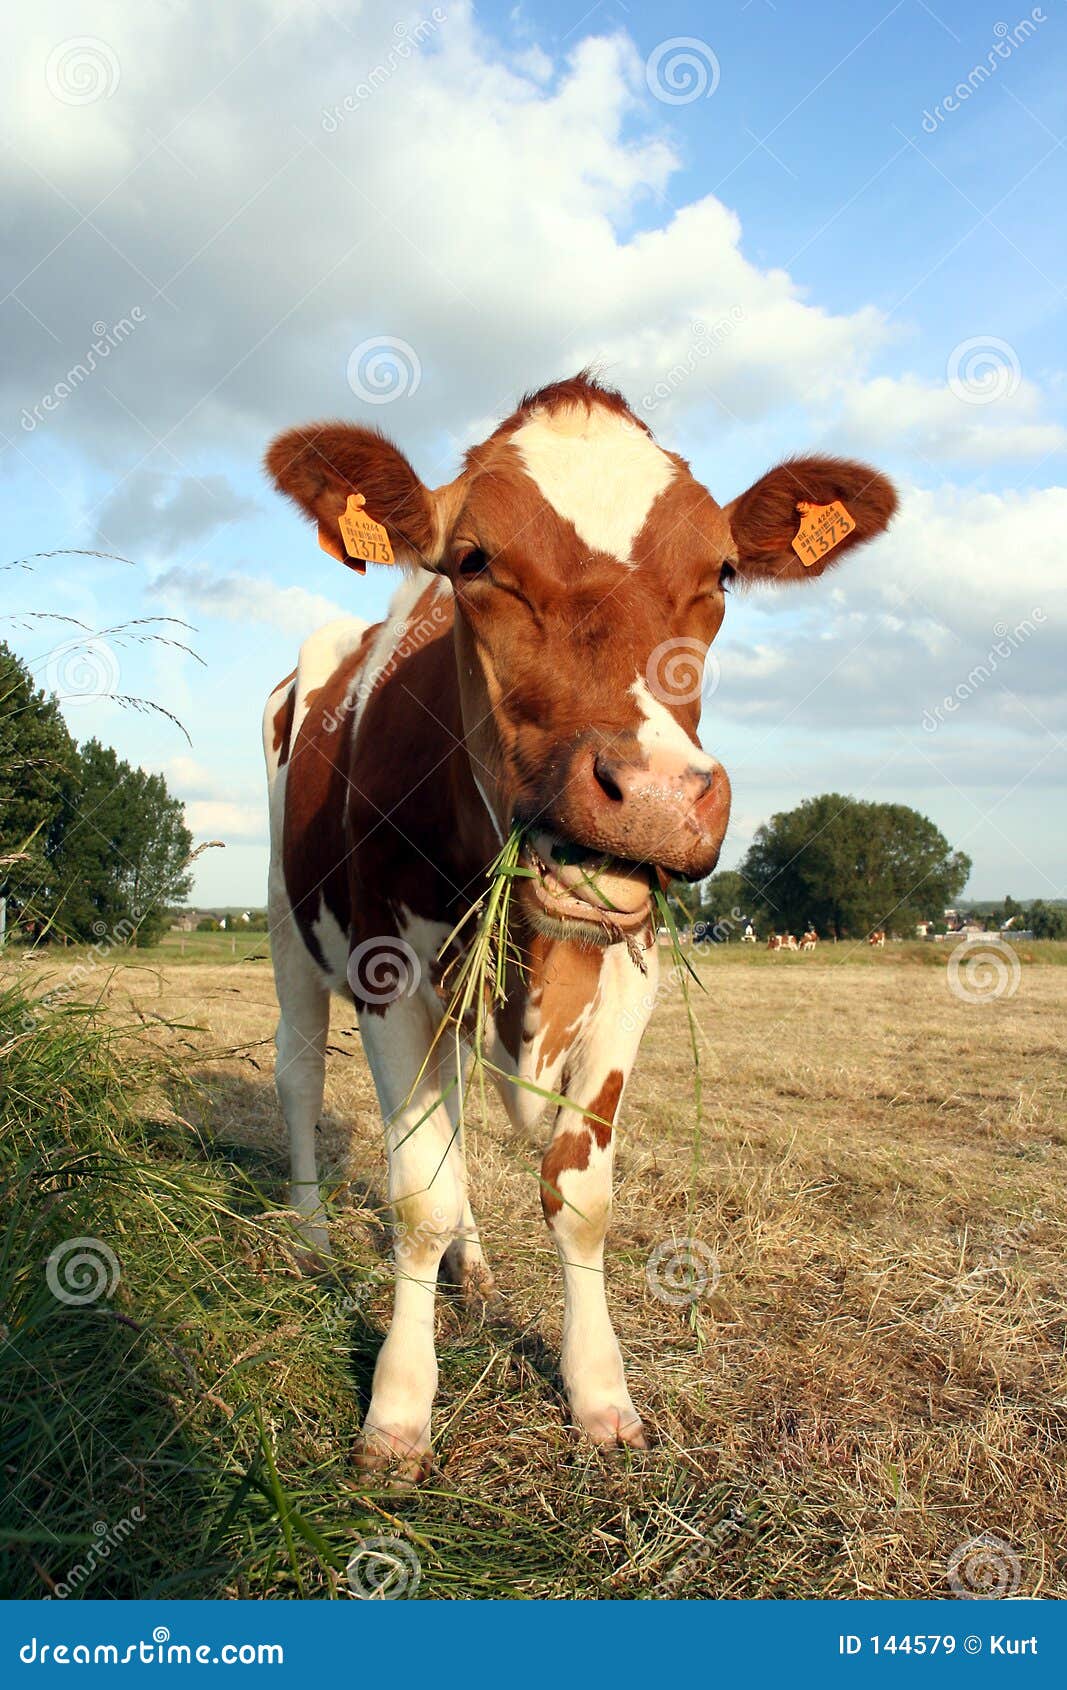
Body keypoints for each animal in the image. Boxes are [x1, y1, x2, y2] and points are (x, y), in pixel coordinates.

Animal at [262, 373, 896, 1478]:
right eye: (474, 559)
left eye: (720, 572)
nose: (653, 797)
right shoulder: (387, 972)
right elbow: (417, 1194)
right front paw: (398, 1408)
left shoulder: (630, 974)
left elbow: (577, 1193)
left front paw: (599, 1391)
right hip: (286, 931)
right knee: (299, 1075)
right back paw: (310, 1238)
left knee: (454, 1104)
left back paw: (473, 1262)